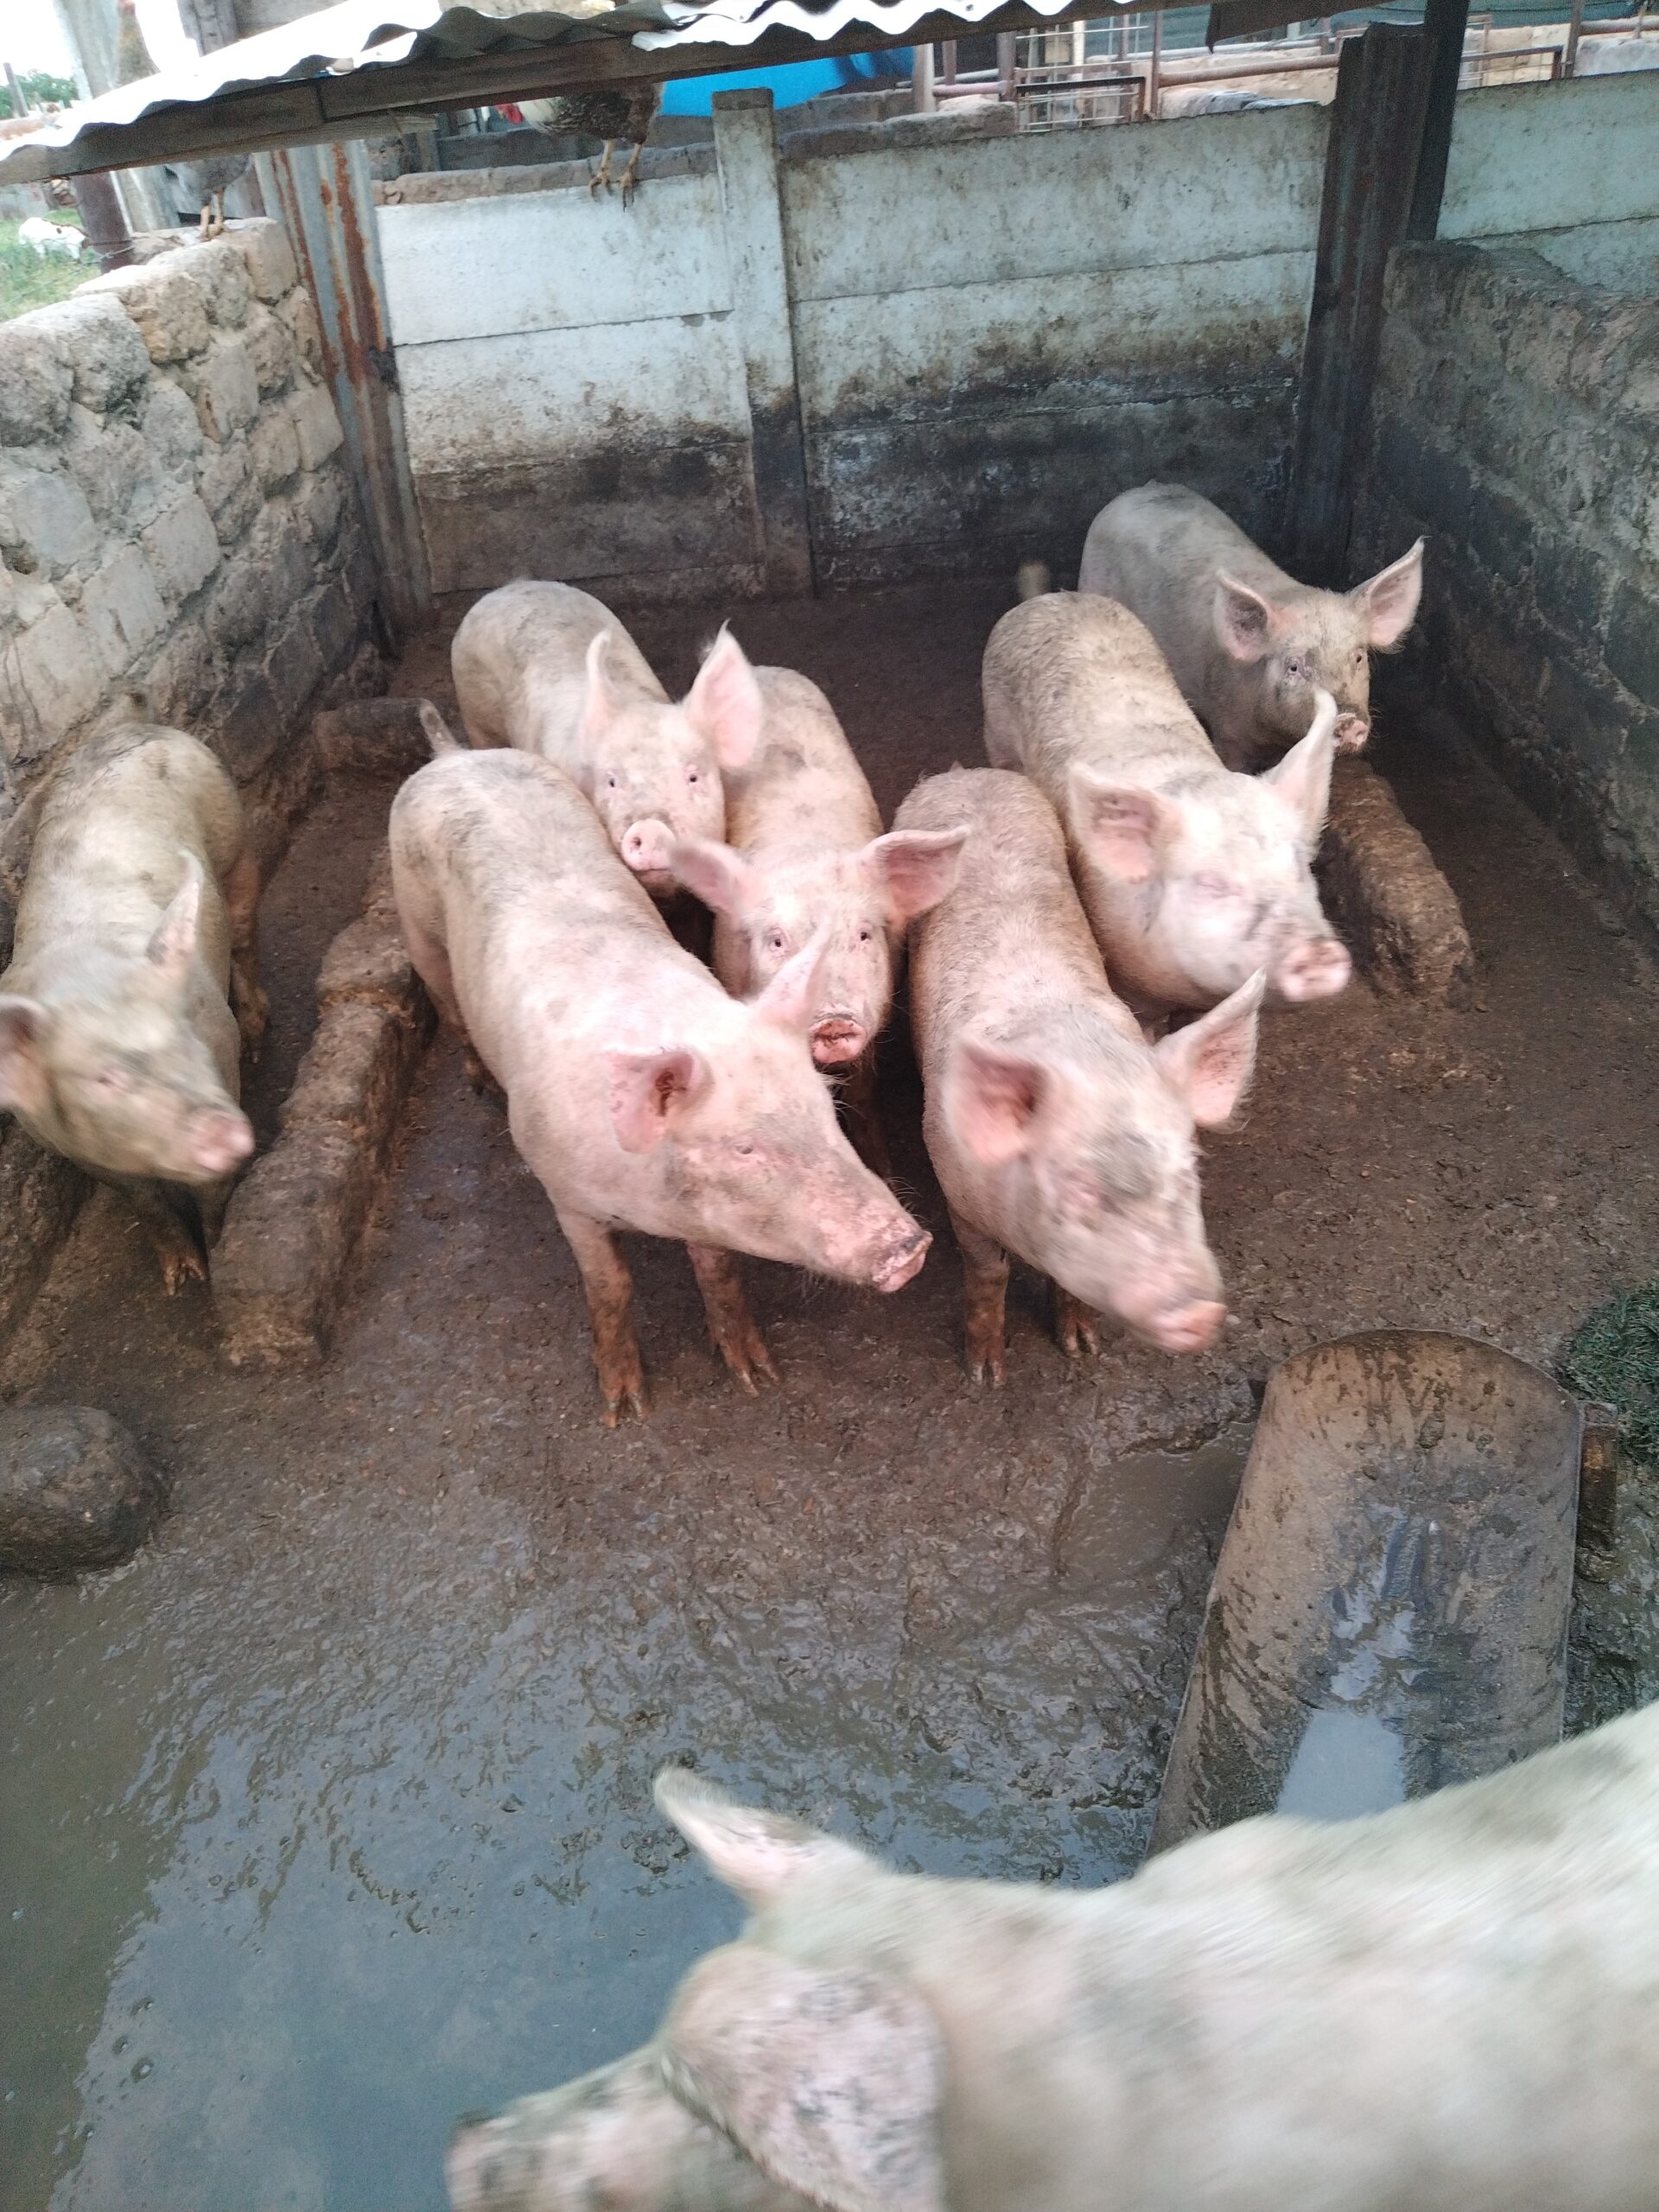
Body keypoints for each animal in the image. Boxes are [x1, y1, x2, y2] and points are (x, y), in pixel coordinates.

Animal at [0, 714, 263, 1290]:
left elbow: (213, 1194)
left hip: (231, 832)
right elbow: (145, 1204)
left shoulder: (222, 1058)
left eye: (188, 1035)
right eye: (105, 1079)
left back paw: (258, 1030)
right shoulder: (70, 1147)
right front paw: (178, 1278)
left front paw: (213, 1266)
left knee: (244, 929)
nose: (223, 1129)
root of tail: (134, 724)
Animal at [389, 748, 930, 1424]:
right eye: (744, 1149)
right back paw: (481, 1084)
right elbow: (609, 1286)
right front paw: (625, 1407)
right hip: (418, 925)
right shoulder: (565, 1192)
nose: (909, 1246)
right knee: (448, 1003)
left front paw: (757, 1375)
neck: (651, 1202)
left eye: (826, 1115)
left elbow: (719, 1272)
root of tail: (454, 756)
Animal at [644, 668, 968, 1178]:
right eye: (777, 941)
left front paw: (883, 1169)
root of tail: (765, 671)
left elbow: (862, 1093)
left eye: (863, 935)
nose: (833, 1019)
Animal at [899, 769, 1259, 1377]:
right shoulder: (958, 1194)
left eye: (1189, 1174)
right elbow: (988, 1273)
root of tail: (966, 773)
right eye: (1077, 1187)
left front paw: (1082, 1348)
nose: (1198, 1314)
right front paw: (985, 1374)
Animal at [1078, 482, 1424, 767]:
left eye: (1359, 657)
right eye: (1293, 667)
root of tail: (1141, 489)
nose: (1348, 719)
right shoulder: (1228, 732)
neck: (1276, 738)